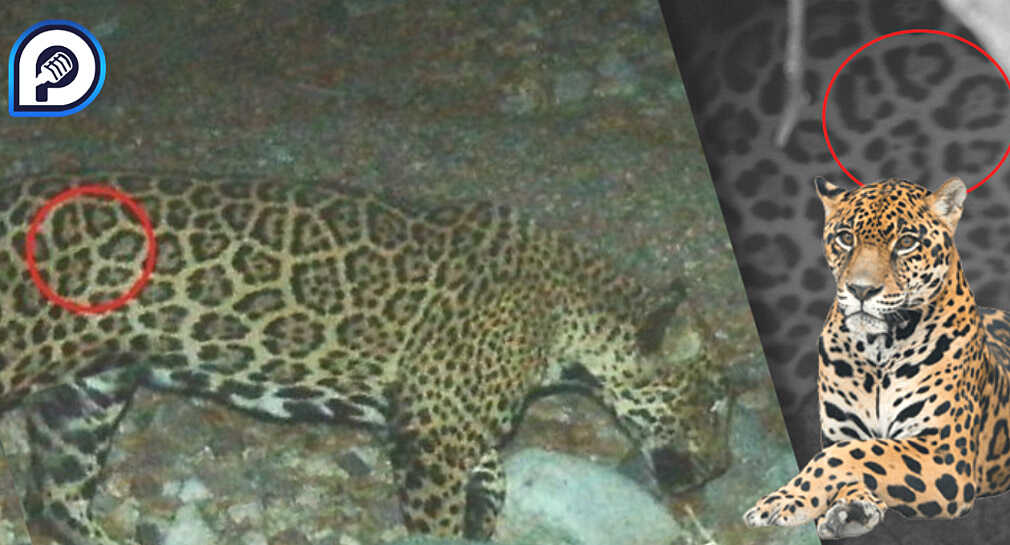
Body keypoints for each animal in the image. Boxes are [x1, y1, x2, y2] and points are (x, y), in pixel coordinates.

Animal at [0, 173, 731, 545]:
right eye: (714, 402)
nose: (725, 467)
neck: (563, 316)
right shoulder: (435, 434)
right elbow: (438, 524)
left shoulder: (444, 420)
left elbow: (492, 475)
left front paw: (482, 519)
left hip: (85, 392)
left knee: (54, 500)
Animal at [743, 176, 1010, 539]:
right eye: (845, 238)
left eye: (907, 242)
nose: (860, 290)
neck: (879, 348)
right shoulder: (845, 431)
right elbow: (854, 455)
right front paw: (852, 508)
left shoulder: (947, 457)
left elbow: (853, 453)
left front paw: (782, 502)